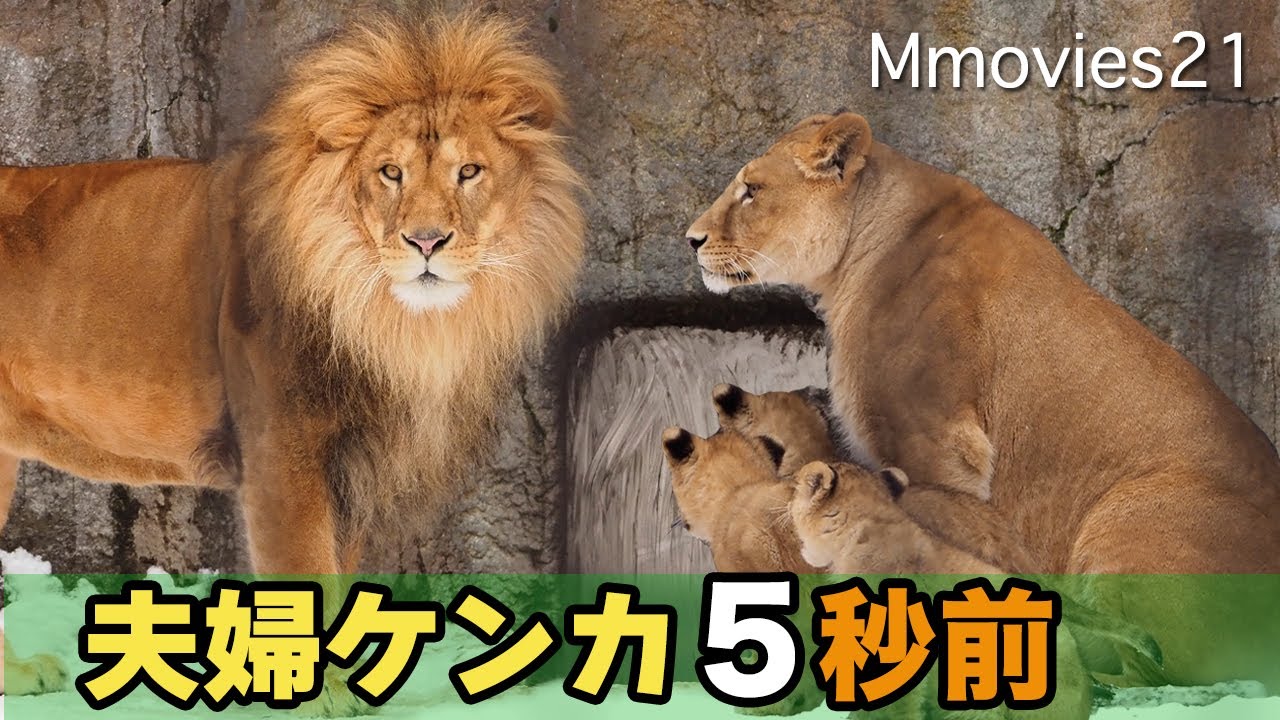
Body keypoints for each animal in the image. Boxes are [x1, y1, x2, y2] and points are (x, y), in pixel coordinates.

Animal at [0, 11, 583, 702]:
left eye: (469, 172)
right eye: (391, 173)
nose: (426, 241)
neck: (390, 322)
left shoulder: (352, 464)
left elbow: (339, 584)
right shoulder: (283, 449)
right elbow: (303, 572)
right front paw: (320, 697)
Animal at [685, 112, 1280, 690]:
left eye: (751, 190)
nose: (691, 239)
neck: (860, 249)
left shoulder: (934, 442)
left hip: (1129, 513)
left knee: (1162, 675)